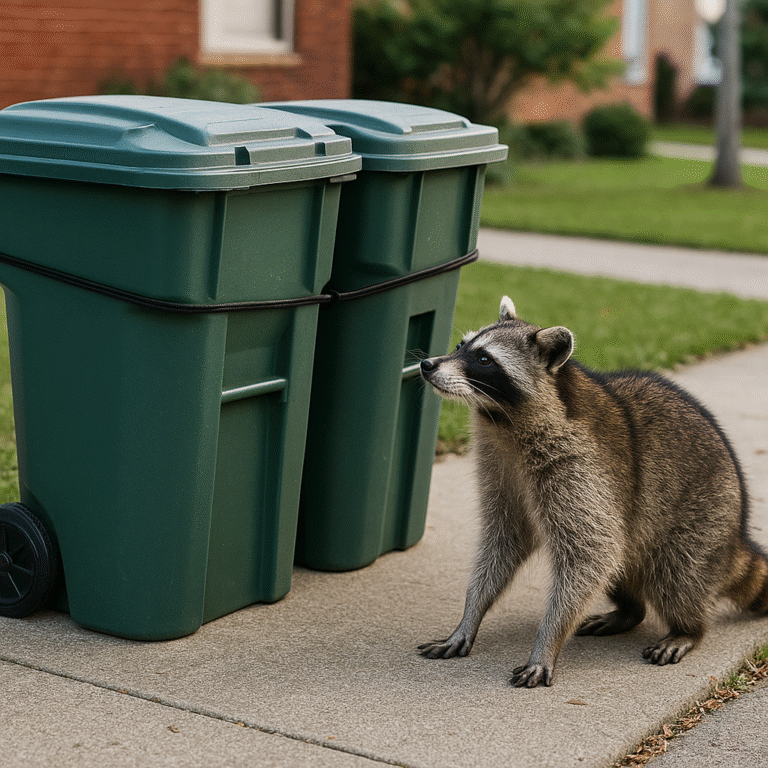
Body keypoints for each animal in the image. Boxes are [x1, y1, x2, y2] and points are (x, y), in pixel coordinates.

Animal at [418, 296, 768, 688]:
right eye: (461, 346)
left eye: (484, 360)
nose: (427, 365)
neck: (502, 419)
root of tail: (737, 535)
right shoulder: (500, 466)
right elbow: (506, 539)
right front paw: (470, 615)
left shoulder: (581, 468)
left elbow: (590, 552)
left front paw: (548, 641)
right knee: (622, 561)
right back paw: (630, 610)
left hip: (704, 517)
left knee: (675, 576)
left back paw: (688, 629)